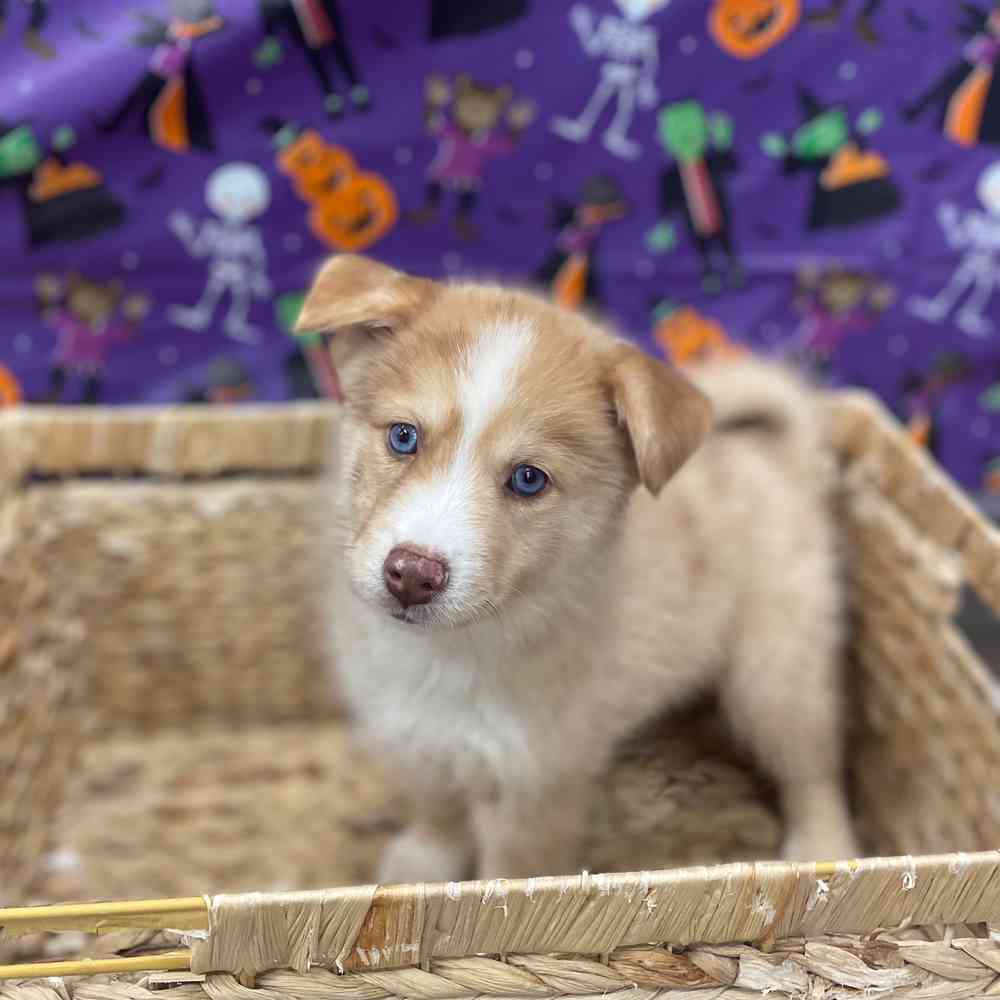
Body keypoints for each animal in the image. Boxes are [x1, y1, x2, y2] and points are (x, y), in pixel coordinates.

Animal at [298, 253, 858, 883]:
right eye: (403, 437)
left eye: (528, 479)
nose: (412, 575)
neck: (450, 653)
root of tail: (779, 460)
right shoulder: (419, 738)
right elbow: (437, 809)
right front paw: (420, 867)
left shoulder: (539, 783)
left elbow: (511, 873)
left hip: (775, 674)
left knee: (813, 766)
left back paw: (825, 847)